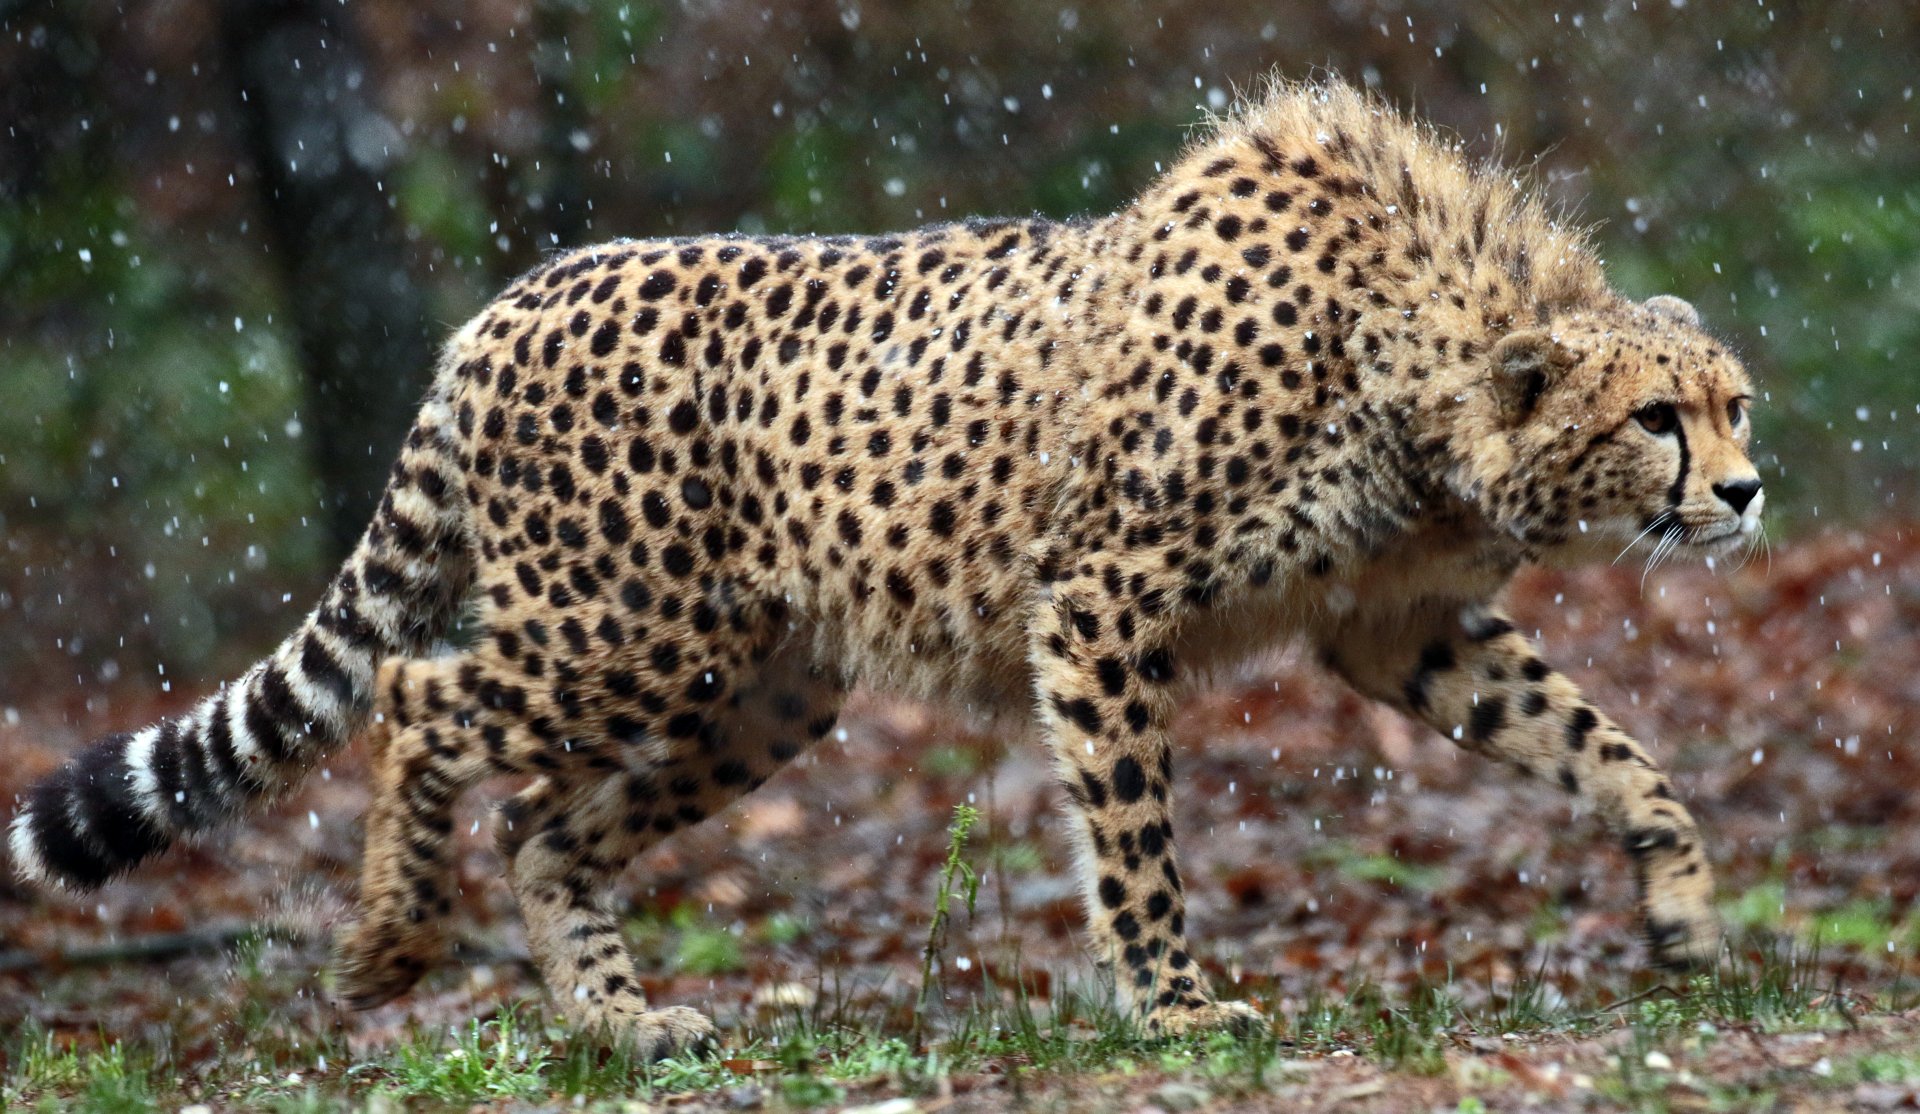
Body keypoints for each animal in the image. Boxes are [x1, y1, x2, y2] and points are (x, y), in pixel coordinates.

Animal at [10, 78, 1765, 1058]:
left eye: (1736, 403)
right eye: (1659, 418)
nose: (1747, 491)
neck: (1423, 350)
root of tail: (514, 293)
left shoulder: (1395, 627)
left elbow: (1611, 747)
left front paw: (1681, 906)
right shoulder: (1105, 596)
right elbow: (1134, 831)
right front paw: (1174, 1003)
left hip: (761, 689)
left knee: (543, 822)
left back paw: (620, 1019)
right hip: (626, 630)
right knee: (422, 697)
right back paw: (391, 941)